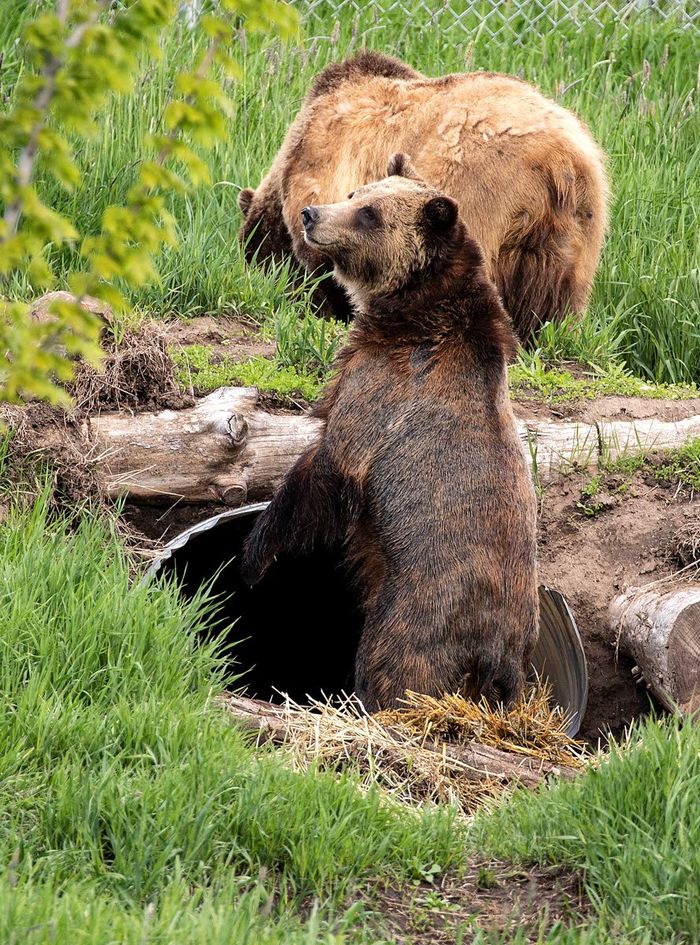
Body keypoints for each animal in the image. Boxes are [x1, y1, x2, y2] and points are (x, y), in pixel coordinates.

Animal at [238, 50, 608, 343]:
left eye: (252, 254)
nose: (257, 277)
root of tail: (556, 159)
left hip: (472, 186)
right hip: (576, 231)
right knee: (559, 301)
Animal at [240, 154, 539, 711]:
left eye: (370, 214)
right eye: (356, 193)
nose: (312, 214)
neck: (413, 309)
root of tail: (494, 656)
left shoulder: (384, 390)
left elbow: (325, 466)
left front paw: (255, 555)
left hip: (414, 610)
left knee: (390, 665)